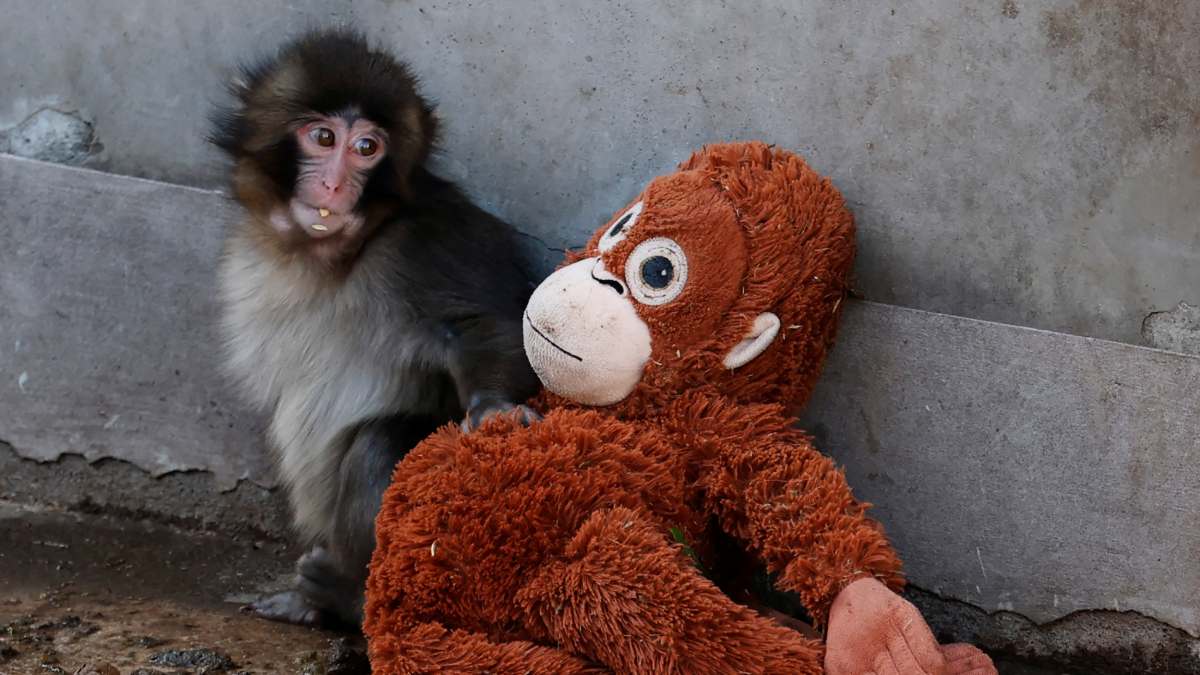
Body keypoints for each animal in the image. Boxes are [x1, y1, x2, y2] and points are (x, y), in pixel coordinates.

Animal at [209, 29, 541, 628]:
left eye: (368, 148)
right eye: (323, 137)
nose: (335, 183)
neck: (334, 255)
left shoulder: (428, 242)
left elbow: (491, 325)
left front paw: (494, 408)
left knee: (378, 445)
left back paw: (347, 596)